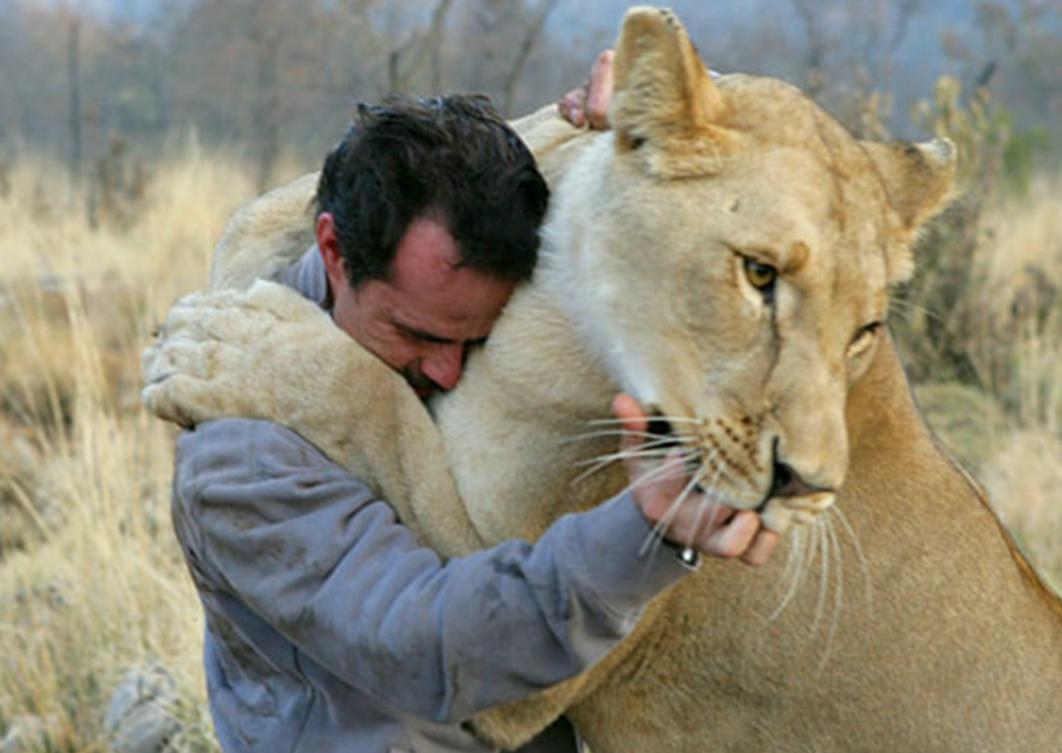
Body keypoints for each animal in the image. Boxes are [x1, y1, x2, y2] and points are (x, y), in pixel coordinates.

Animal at [143, 7, 1062, 752]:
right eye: (759, 273)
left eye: (866, 329)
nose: (805, 487)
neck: (557, 290)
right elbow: (259, 212)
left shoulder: (495, 599)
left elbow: (381, 407)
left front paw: (226, 347)